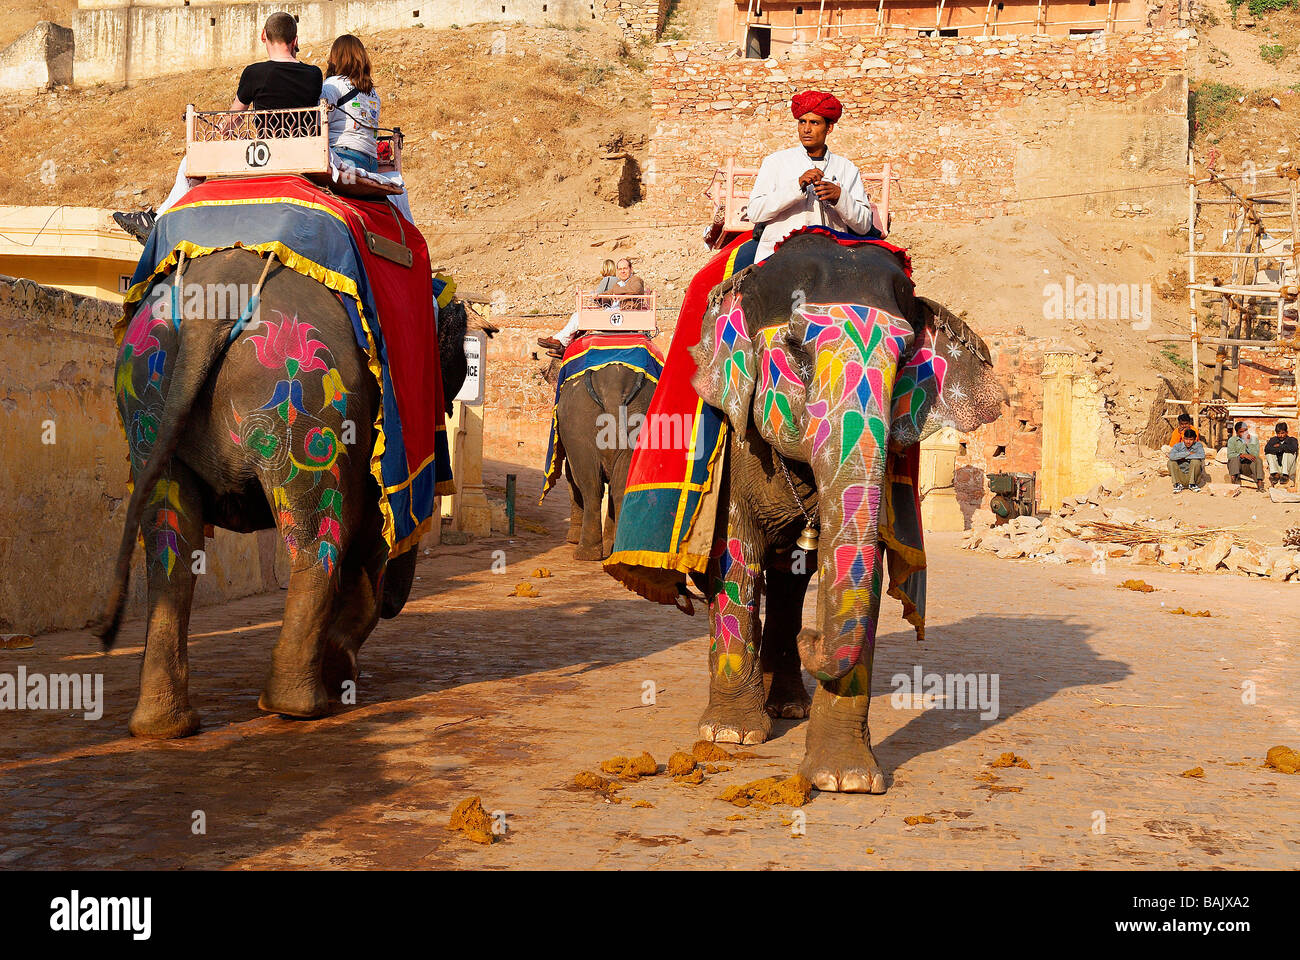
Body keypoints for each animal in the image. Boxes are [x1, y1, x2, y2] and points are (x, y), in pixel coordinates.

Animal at [98, 248, 468, 738]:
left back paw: (164, 725)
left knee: (169, 543)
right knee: (320, 539)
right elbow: (371, 536)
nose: (395, 603)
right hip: (312, 408)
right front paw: (342, 673)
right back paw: (299, 706)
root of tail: (209, 309)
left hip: (148, 402)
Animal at [686, 231, 1006, 792]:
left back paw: (788, 703)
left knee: (790, 583)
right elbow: (734, 555)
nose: (814, 639)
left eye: (906, 358)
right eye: (796, 348)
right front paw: (730, 734)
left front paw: (846, 780)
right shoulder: (736, 442)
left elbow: (863, 571)